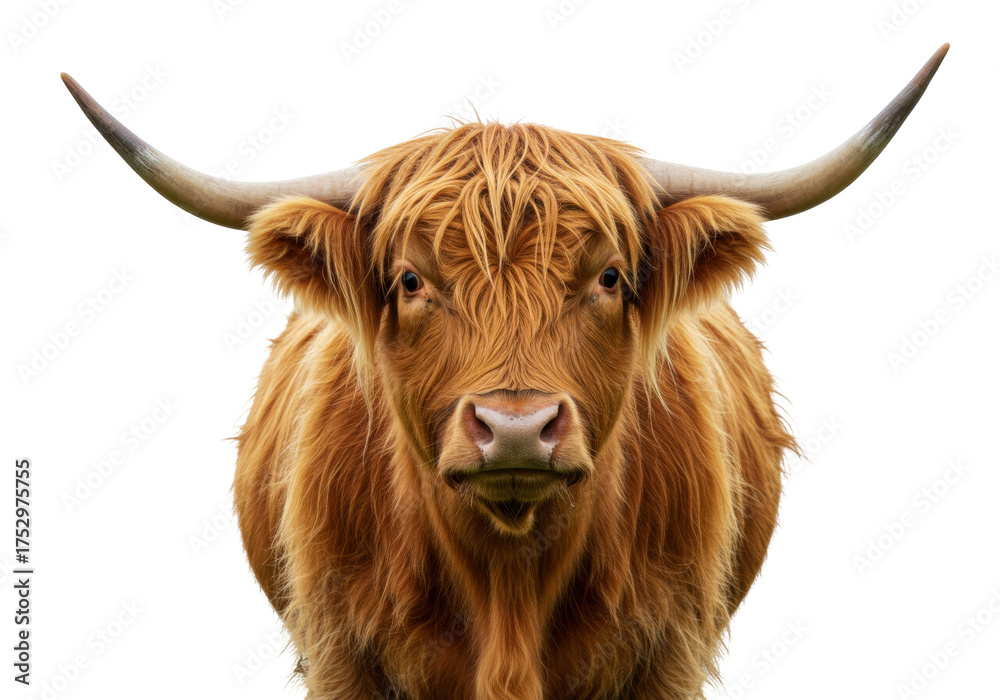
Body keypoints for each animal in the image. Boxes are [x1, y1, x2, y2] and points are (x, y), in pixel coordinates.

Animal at [63, 44, 948, 699]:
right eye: (411, 280)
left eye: (610, 276)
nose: (516, 429)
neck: (508, 582)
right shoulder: (341, 653)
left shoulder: (669, 653)